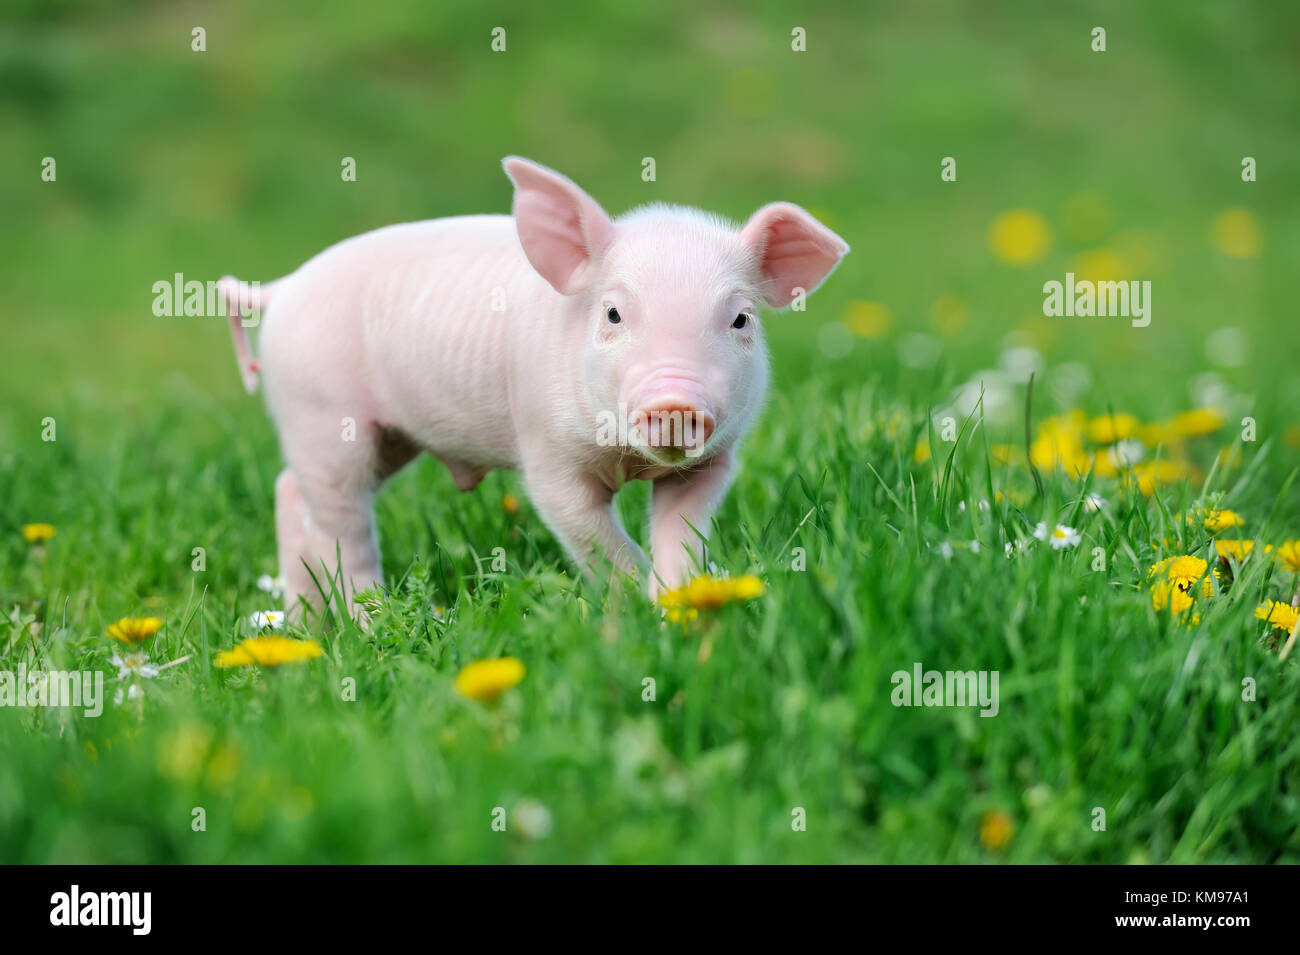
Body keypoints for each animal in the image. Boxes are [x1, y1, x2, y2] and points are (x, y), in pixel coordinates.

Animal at [222, 157, 848, 614]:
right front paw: (633, 613)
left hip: (381, 435)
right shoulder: (547, 454)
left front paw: (678, 606)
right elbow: (595, 538)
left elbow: (681, 534)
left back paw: (305, 628)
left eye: (741, 319)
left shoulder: (714, 461)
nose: (674, 399)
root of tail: (281, 288)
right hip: (321, 414)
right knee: (338, 523)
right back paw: (366, 621)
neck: (628, 458)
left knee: (291, 494)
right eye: (613, 313)